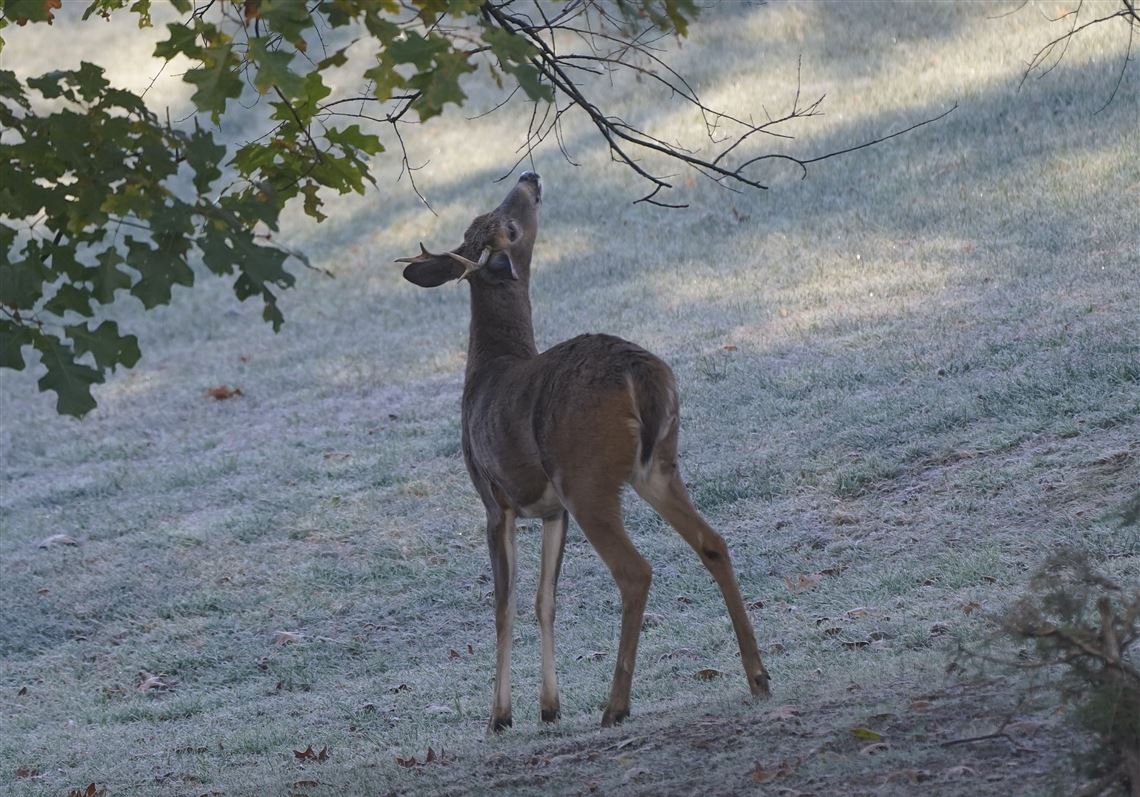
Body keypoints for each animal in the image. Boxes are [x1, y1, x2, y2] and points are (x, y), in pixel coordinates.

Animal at [397, 172, 769, 732]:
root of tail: (641, 370)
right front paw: (549, 707)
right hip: (657, 466)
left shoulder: (494, 499)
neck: (488, 367)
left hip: (586, 476)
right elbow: (544, 600)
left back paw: (616, 706)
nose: (529, 177)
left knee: (635, 571)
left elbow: (504, 605)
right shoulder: (553, 511)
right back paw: (758, 676)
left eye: (507, 224)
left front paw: (500, 716)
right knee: (713, 542)